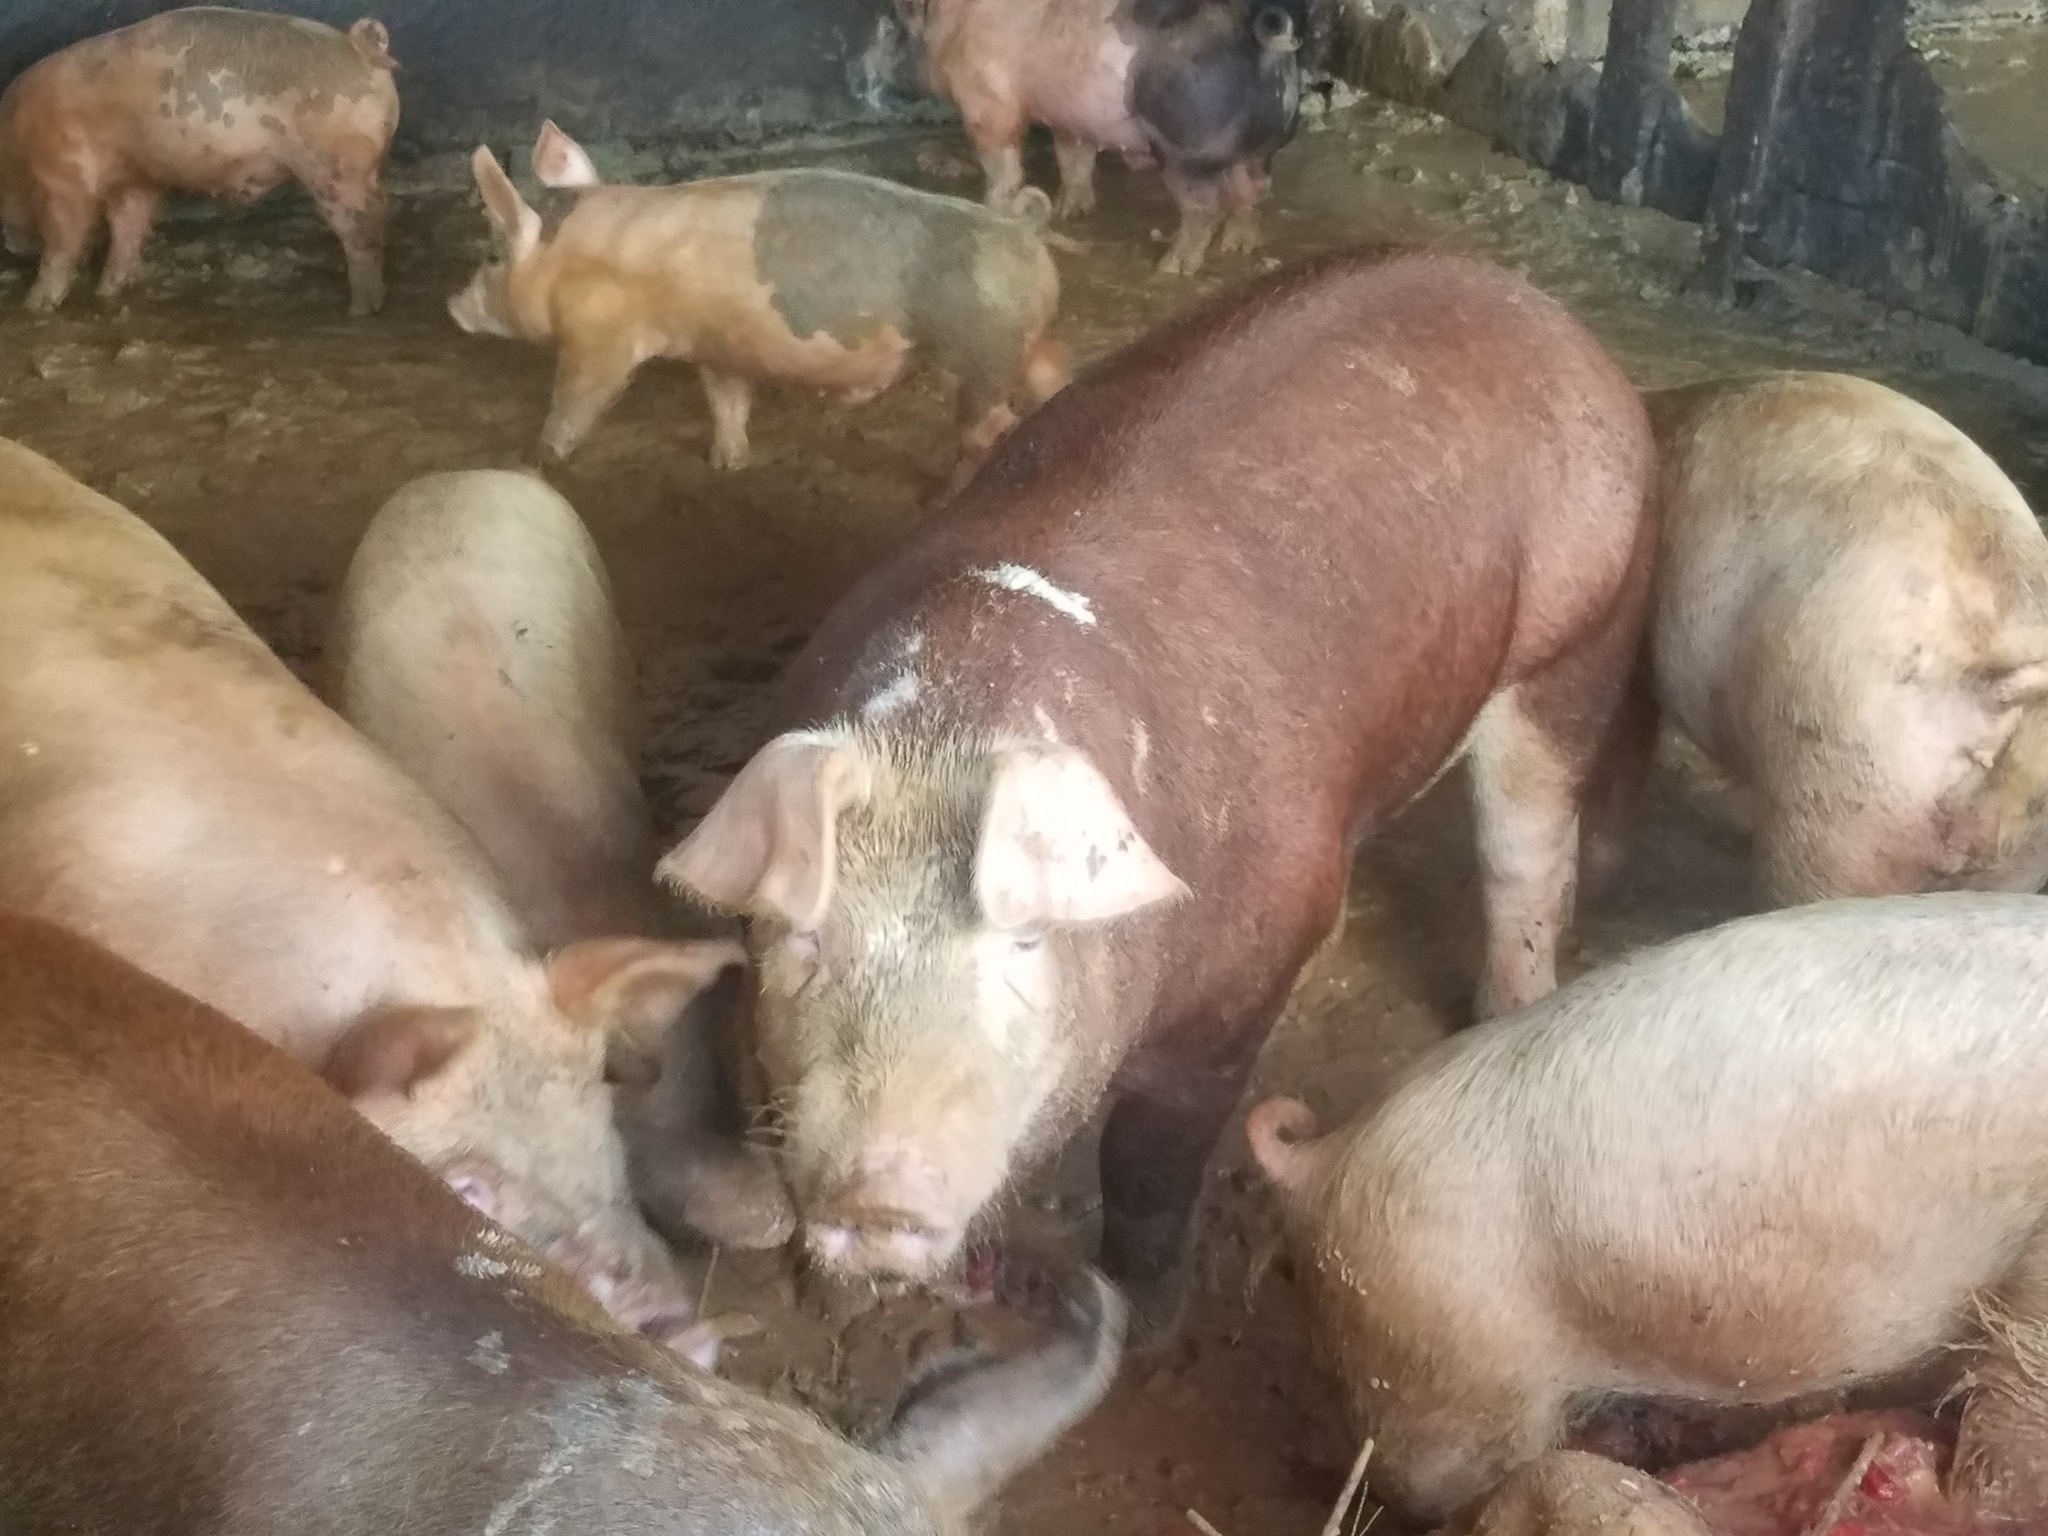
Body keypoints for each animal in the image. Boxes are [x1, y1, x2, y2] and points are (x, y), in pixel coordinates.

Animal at [0, 7, 399, 315]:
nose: (10, 246)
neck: (16, 145)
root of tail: (362, 48)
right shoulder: (136, 179)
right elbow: (128, 230)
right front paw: (108, 292)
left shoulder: (63, 172)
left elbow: (64, 239)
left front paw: (34, 306)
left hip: (336, 165)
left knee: (364, 226)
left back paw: (360, 309)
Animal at [446, 120, 1069, 486]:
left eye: (492, 256)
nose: (452, 305)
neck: (571, 259)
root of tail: (1022, 231)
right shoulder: (716, 345)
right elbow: (726, 400)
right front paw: (726, 465)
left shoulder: (599, 339)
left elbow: (576, 400)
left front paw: (534, 458)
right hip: (1032, 343)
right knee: (1052, 381)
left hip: (978, 357)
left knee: (990, 427)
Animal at [657, 245, 1659, 1339]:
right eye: (805, 939)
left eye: (1026, 941)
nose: (881, 1197)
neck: (947, 727)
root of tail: (1534, 306)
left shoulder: (1235, 994)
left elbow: (1150, 1168)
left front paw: (1141, 1318)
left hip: (1575, 640)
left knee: (1526, 851)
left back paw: (1507, 1008)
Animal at [892, 0, 1307, 275]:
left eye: (897, 30)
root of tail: (1263, 44)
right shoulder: (1069, 118)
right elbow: (1074, 159)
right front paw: (1069, 210)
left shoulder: (987, 104)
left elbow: (1002, 165)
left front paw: (992, 207)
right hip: (1262, 147)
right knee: (1252, 190)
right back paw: (1240, 246)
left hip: (1183, 149)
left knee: (1205, 205)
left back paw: (1172, 266)